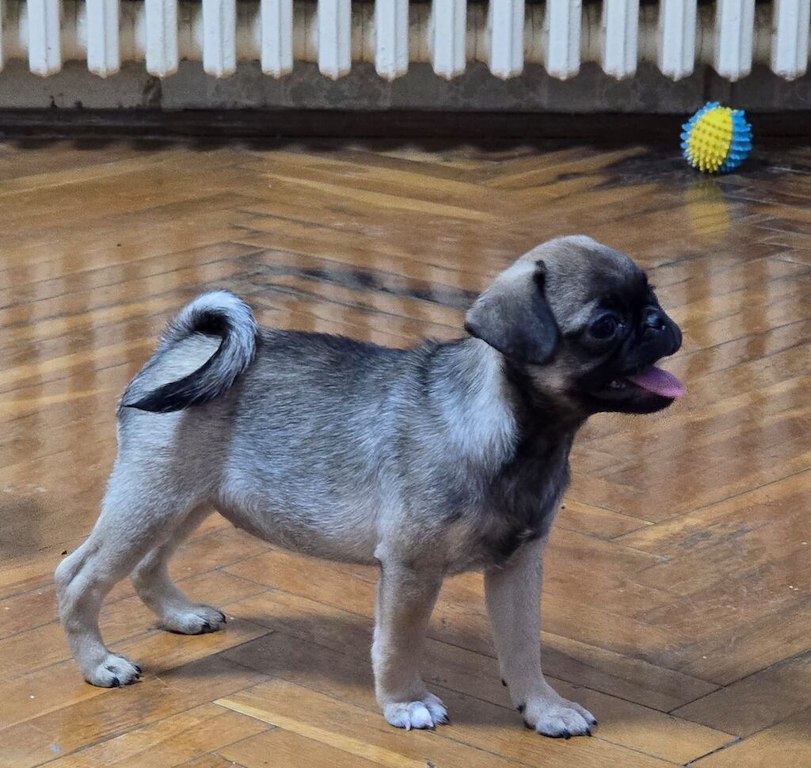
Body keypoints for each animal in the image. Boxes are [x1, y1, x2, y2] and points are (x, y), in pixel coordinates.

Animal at [54, 234, 684, 736]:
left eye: (651, 299)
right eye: (606, 327)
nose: (660, 323)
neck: (511, 429)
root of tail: (184, 343)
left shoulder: (518, 566)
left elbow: (522, 645)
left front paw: (545, 707)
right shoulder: (411, 567)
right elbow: (399, 642)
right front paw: (406, 703)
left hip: (189, 502)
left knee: (145, 565)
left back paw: (179, 616)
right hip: (153, 498)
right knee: (79, 577)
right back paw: (99, 664)